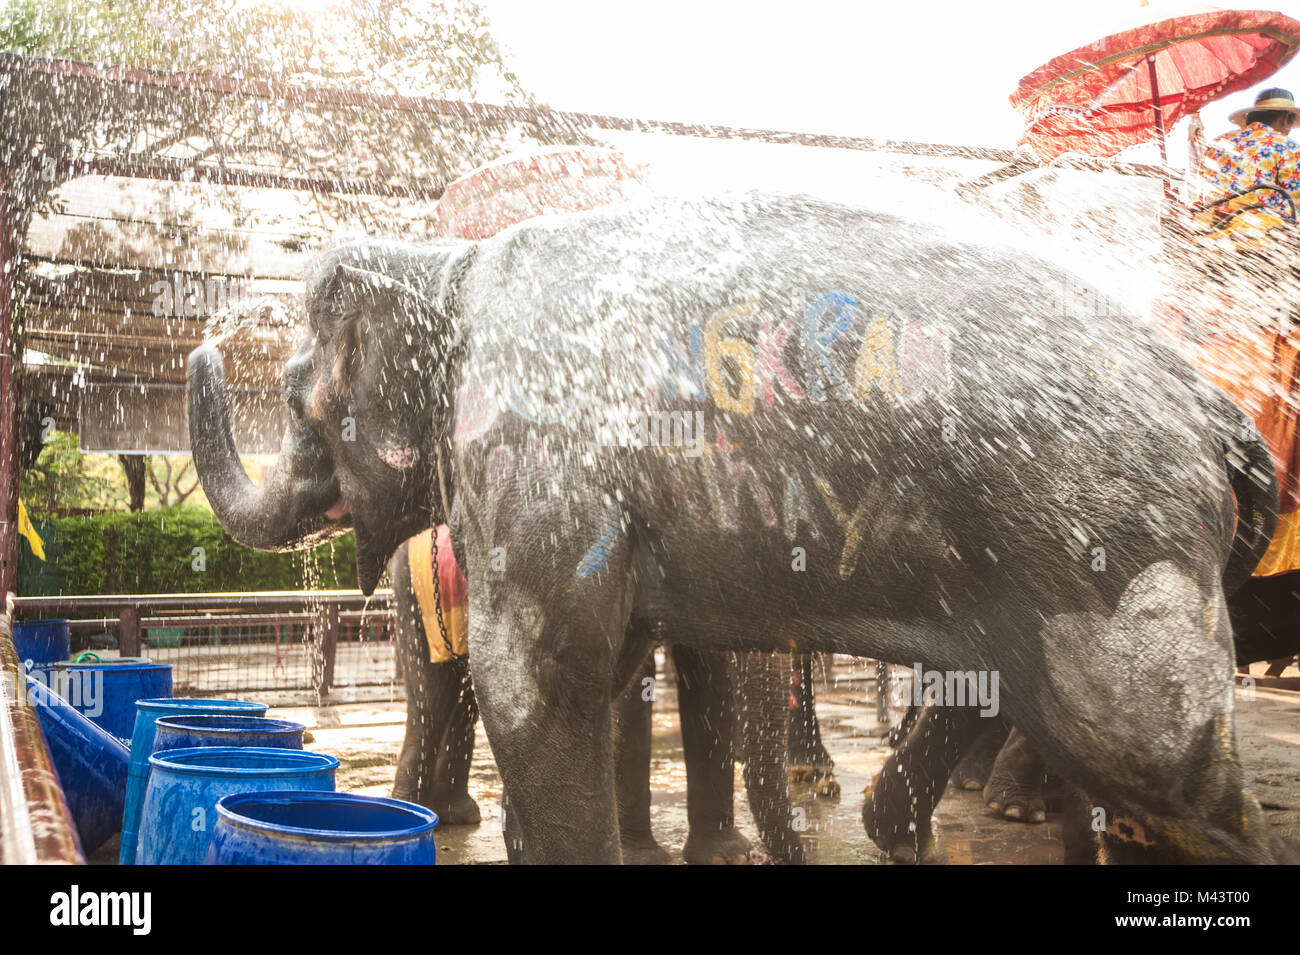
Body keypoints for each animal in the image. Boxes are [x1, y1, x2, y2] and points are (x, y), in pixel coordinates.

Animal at [188, 190, 1283, 863]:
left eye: (295, 397)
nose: (204, 341)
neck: (450, 266)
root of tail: (1215, 408)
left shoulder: (535, 464)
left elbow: (532, 682)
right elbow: (596, 673)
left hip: (1108, 553)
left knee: (1155, 764)